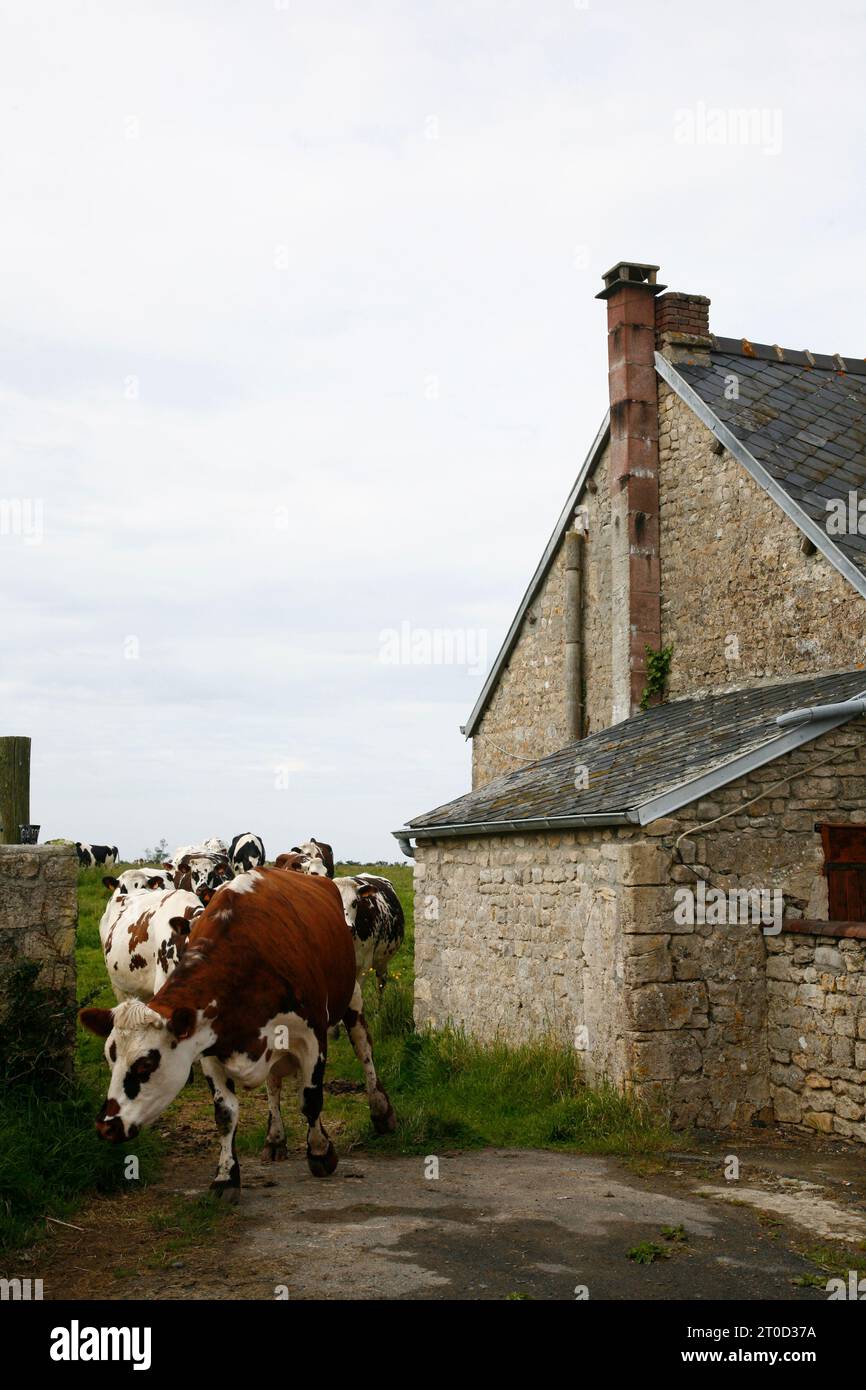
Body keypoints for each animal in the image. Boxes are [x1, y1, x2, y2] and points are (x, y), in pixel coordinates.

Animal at [80, 868, 396, 1199]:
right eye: (111, 1060)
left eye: (146, 1064)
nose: (106, 1126)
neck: (245, 963)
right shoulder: (207, 1044)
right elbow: (225, 1113)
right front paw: (226, 1176)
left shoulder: (312, 1037)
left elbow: (311, 1099)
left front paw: (321, 1152)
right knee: (274, 1084)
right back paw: (275, 1137)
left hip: (352, 995)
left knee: (363, 1048)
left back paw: (380, 1110)